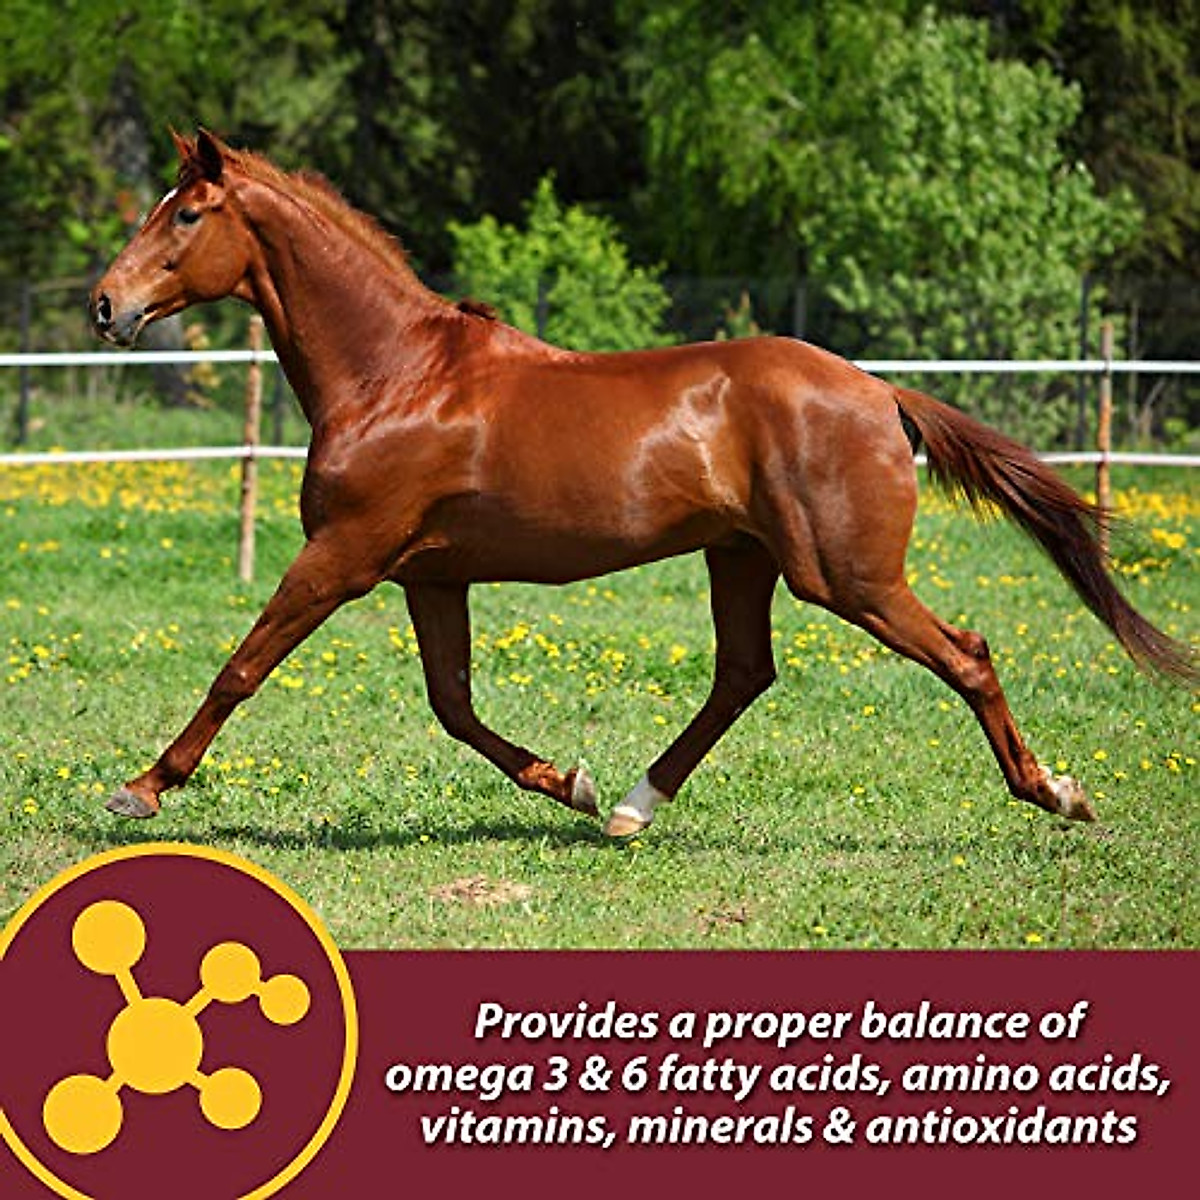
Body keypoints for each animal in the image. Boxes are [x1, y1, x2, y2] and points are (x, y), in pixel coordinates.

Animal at [89, 129, 1193, 837]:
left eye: (187, 215)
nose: (106, 306)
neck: (396, 374)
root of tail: (880, 392)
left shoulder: (343, 556)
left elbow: (241, 668)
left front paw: (142, 787)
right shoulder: (431, 576)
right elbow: (453, 705)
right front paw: (569, 783)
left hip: (847, 576)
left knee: (966, 655)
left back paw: (1057, 795)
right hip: (743, 558)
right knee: (744, 673)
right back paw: (628, 807)